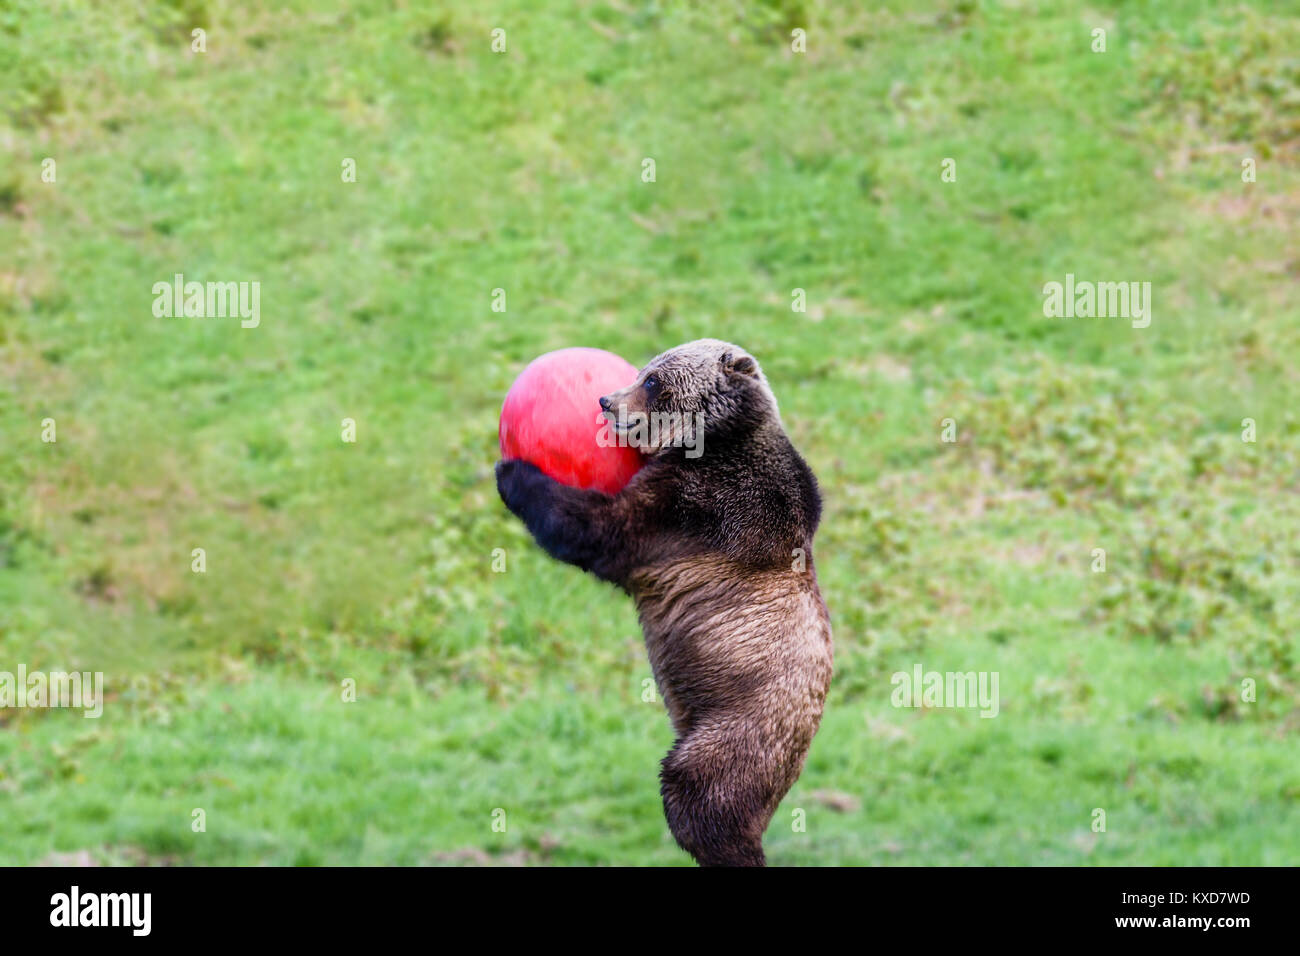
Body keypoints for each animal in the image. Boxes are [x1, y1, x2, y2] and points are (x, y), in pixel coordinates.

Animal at [496, 338, 833, 867]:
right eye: (643, 370)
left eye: (653, 380)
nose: (606, 401)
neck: (716, 440)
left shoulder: (703, 506)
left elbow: (601, 532)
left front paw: (513, 472)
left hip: (737, 732)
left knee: (698, 799)